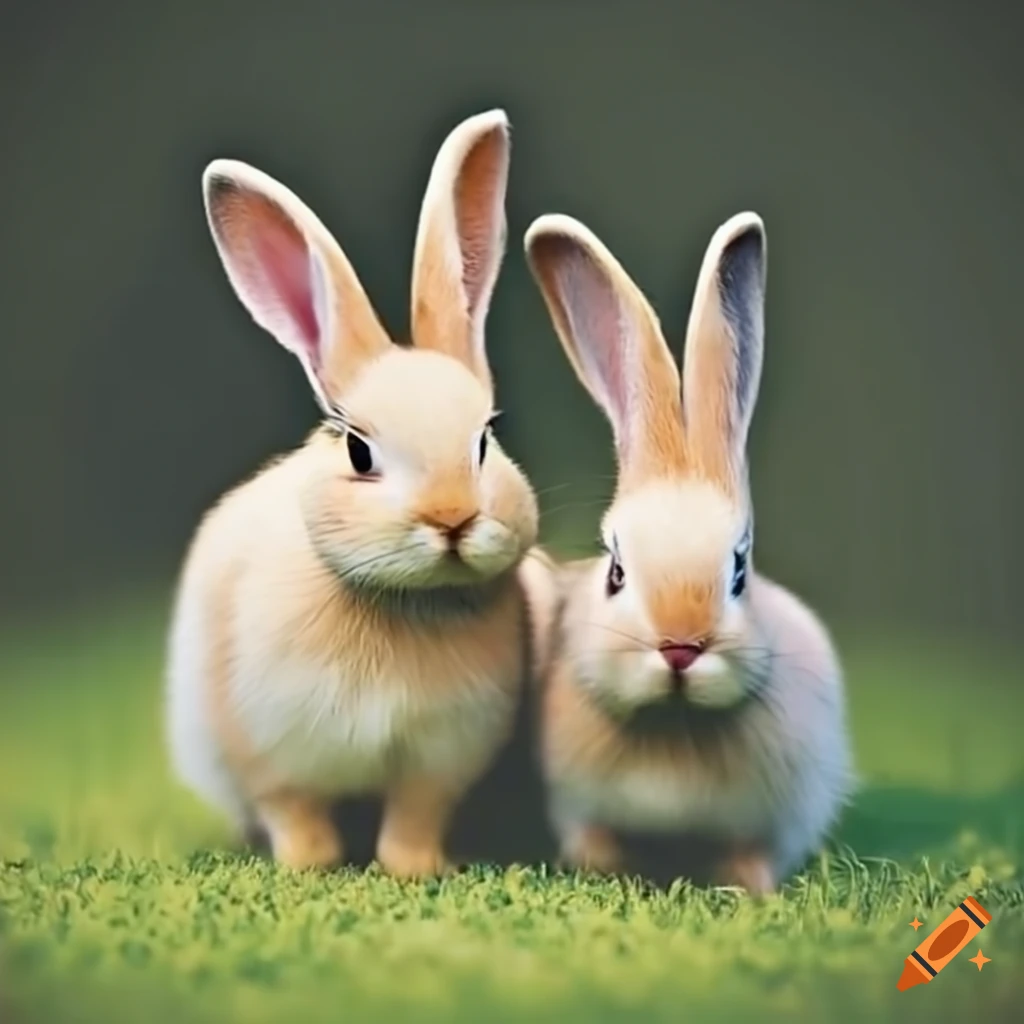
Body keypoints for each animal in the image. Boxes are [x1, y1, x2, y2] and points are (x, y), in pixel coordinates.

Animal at [166, 109, 543, 878]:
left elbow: (413, 824)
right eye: (358, 450)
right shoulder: (272, 758)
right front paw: (306, 868)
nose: (452, 517)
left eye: (485, 440)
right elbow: (296, 817)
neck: (402, 605)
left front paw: (416, 870)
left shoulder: (438, 764)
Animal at [522, 210, 852, 894]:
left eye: (739, 570)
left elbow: (751, 857)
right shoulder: (578, 806)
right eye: (617, 572)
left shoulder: (772, 823)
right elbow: (593, 841)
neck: (673, 725)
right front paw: (601, 871)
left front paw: (749, 889)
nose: (680, 647)